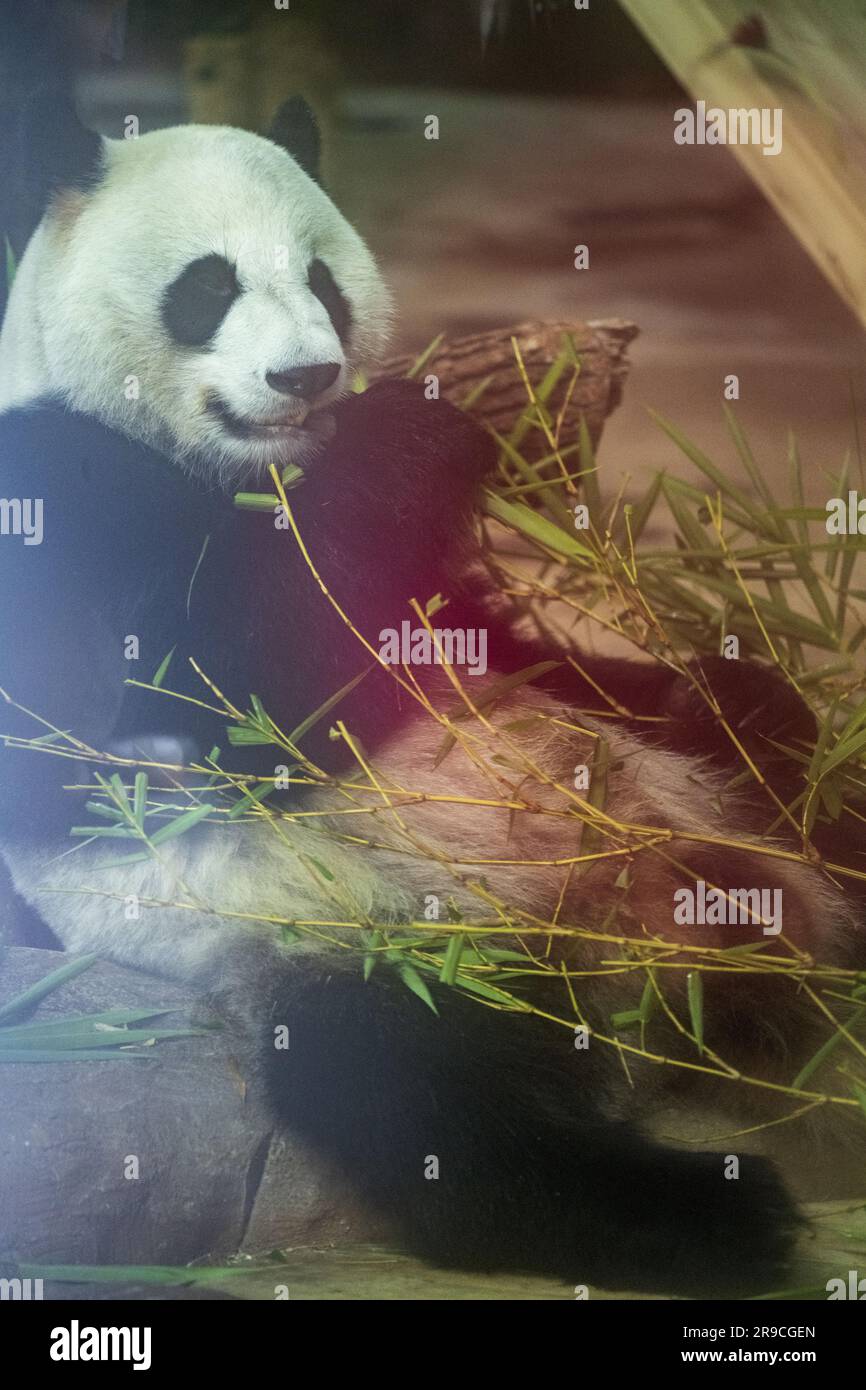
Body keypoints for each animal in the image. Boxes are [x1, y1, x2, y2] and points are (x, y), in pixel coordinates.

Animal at [0, 93, 862, 1297]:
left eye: (322, 280)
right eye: (206, 286)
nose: (307, 379)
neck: (244, 473)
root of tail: (639, 963)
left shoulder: (444, 604)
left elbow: (486, 642)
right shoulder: (54, 488)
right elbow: (181, 704)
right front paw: (418, 428)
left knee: (803, 794)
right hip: (359, 937)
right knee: (431, 1105)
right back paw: (716, 1219)